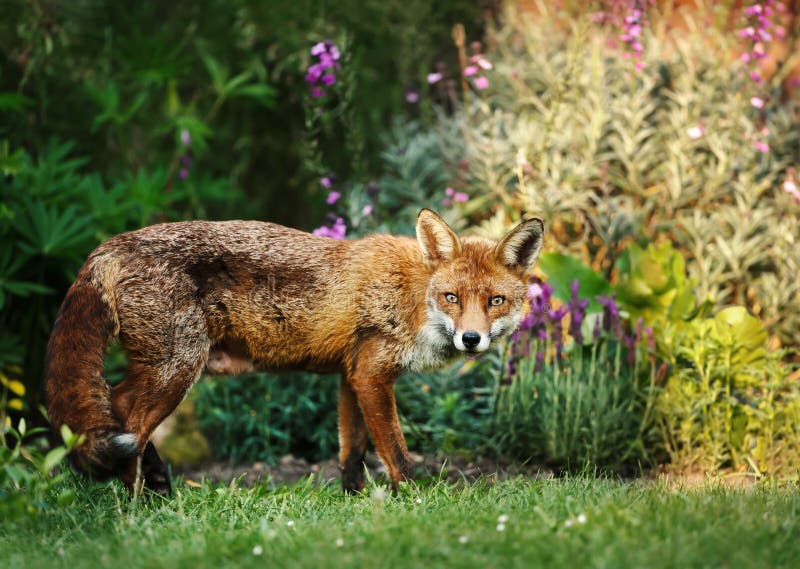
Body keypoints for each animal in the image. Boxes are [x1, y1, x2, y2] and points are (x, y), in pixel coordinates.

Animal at [44, 208, 544, 496]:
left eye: (495, 301)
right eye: (452, 298)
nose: (472, 339)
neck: (413, 294)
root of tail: (110, 246)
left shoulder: (351, 375)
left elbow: (351, 452)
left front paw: (356, 503)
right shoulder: (372, 375)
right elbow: (396, 453)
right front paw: (416, 500)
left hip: (165, 369)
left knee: (119, 405)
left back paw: (157, 488)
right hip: (178, 369)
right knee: (129, 420)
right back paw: (136, 505)